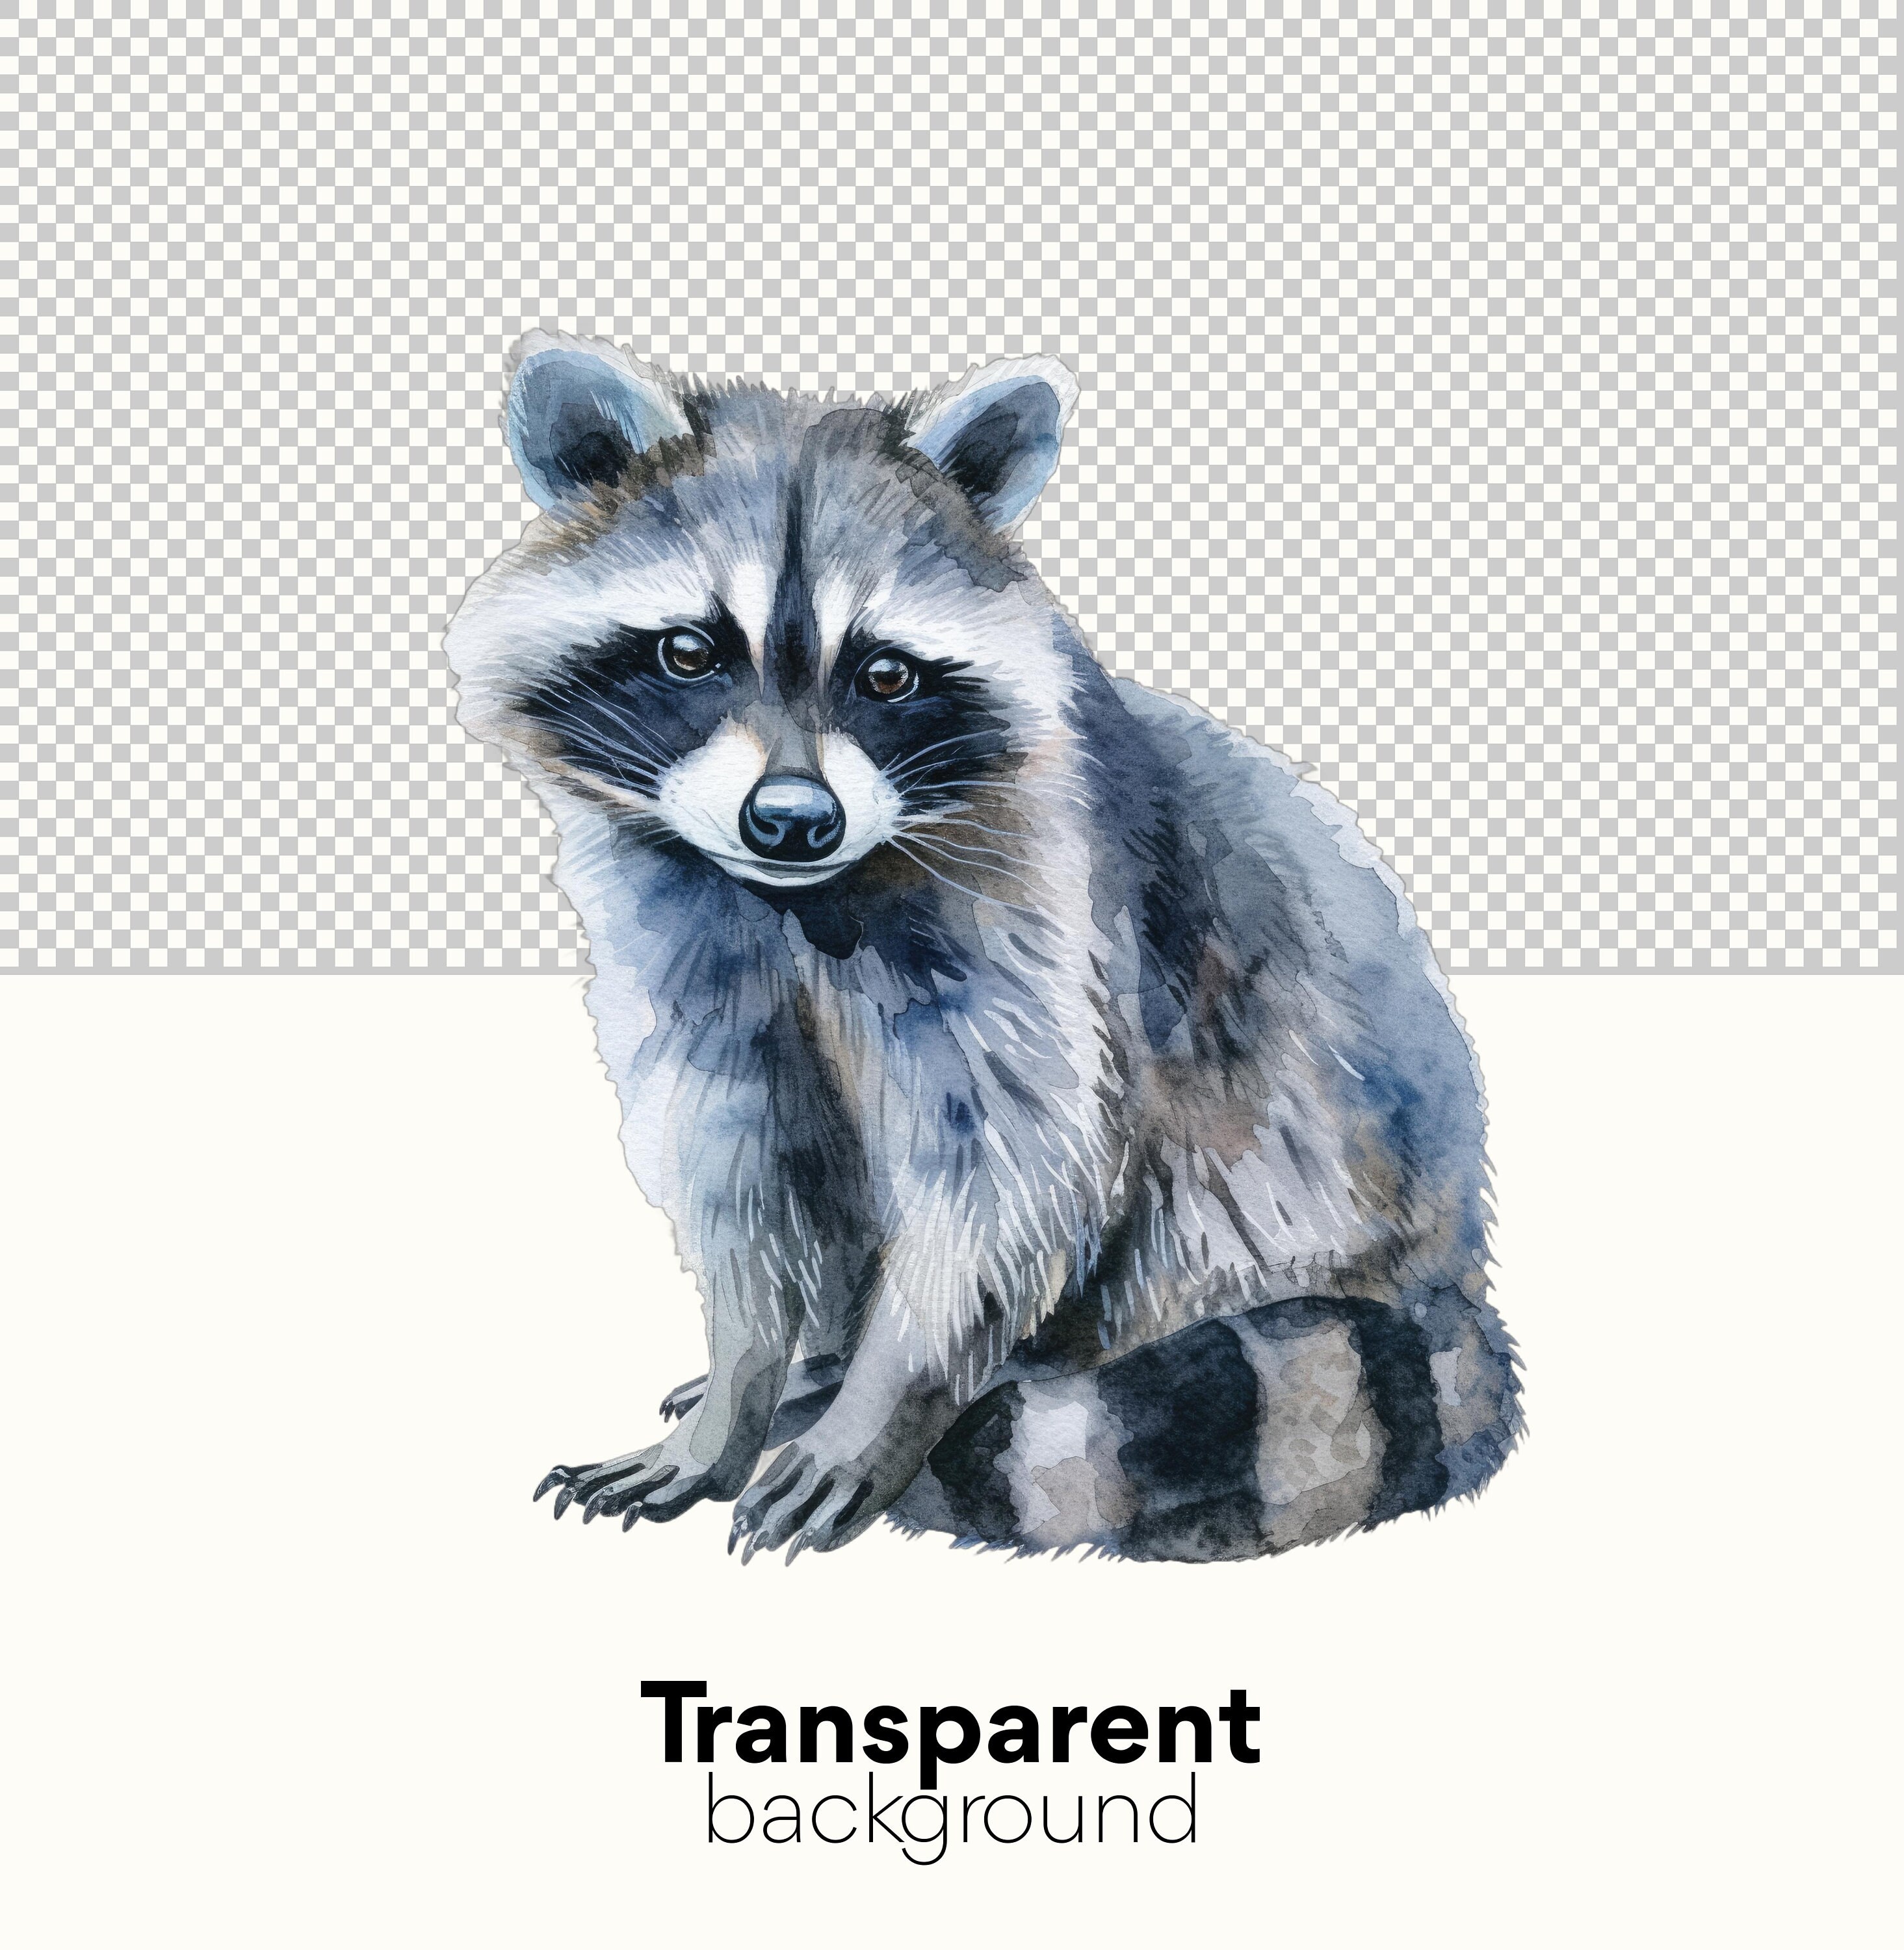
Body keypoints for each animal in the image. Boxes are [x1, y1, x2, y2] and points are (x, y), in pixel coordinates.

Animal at [443, 331, 1523, 1564]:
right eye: (687, 653)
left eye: (885, 674)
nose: (792, 820)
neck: (797, 899)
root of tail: (1453, 1268)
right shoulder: (684, 937)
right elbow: (741, 1162)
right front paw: (739, 1388)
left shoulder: (1042, 899)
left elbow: (1008, 1171)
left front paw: (879, 1403)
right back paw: (811, 1367)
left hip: (1287, 1181)